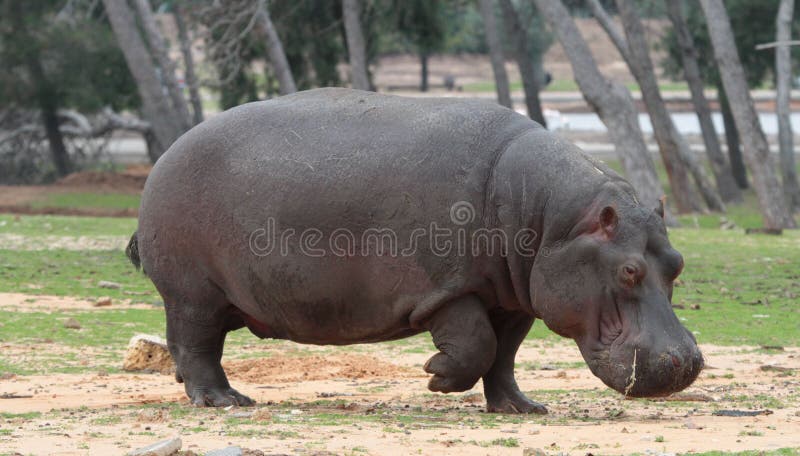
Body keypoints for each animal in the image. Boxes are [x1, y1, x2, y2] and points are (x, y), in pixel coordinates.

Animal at [126, 88, 702, 413]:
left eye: (677, 264)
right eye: (628, 271)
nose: (685, 363)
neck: (553, 217)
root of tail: (165, 154)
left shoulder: (517, 296)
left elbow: (505, 355)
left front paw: (521, 408)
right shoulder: (446, 289)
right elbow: (476, 344)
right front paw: (436, 377)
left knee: (189, 345)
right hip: (194, 292)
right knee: (198, 344)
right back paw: (223, 401)